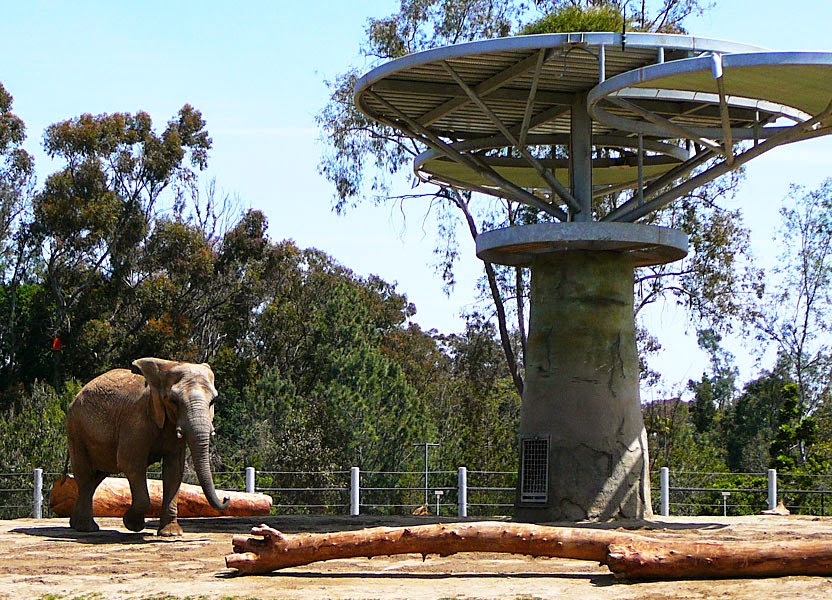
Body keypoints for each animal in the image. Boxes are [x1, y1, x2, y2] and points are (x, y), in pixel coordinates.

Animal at [66, 357, 229, 536]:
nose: (226, 498)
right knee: (86, 475)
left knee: (97, 477)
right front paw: (134, 525)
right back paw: (87, 528)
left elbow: (174, 470)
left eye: (213, 401)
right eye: (173, 400)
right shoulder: (135, 421)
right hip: (76, 429)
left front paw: (171, 534)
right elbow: (131, 464)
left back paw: (75, 524)